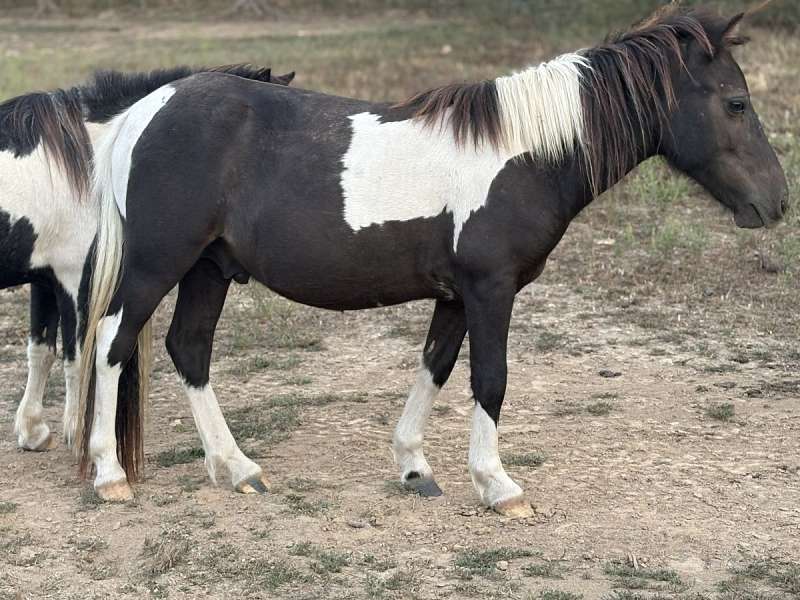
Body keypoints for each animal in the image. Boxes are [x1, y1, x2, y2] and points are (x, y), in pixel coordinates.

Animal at [1, 65, 294, 452]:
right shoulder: (76, 281)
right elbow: (77, 359)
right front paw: (77, 434)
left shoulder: (46, 279)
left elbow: (40, 351)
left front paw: (33, 431)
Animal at [77, 6, 788, 515]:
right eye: (735, 103)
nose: (777, 201)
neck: (524, 155)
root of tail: (144, 110)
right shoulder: (490, 289)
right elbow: (490, 380)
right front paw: (499, 486)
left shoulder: (454, 294)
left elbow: (435, 367)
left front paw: (414, 465)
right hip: (156, 265)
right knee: (113, 343)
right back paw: (110, 476)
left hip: (210, 268)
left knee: (190, 349)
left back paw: (237, 469)